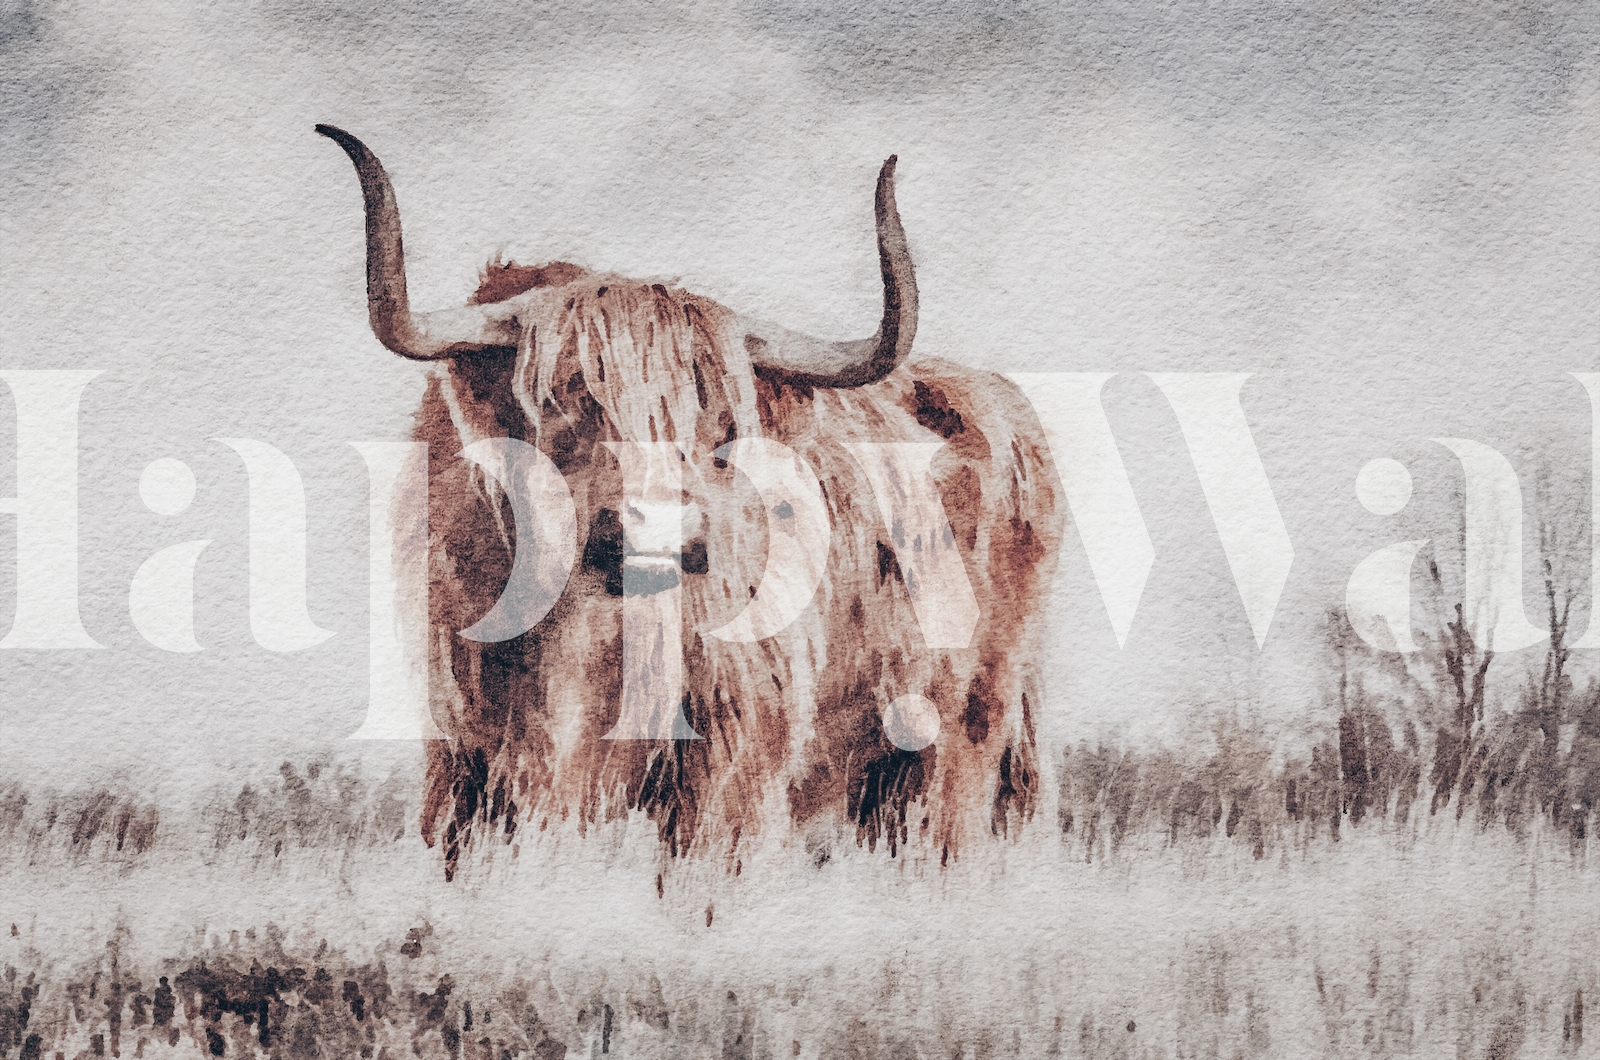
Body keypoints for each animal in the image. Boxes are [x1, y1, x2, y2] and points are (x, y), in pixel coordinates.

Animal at [317, 125, 1064, 878]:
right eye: (563, 399)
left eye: (721, 426)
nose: (661, 528)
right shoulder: (466, 757)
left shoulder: (733, 750)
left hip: (964, 729)